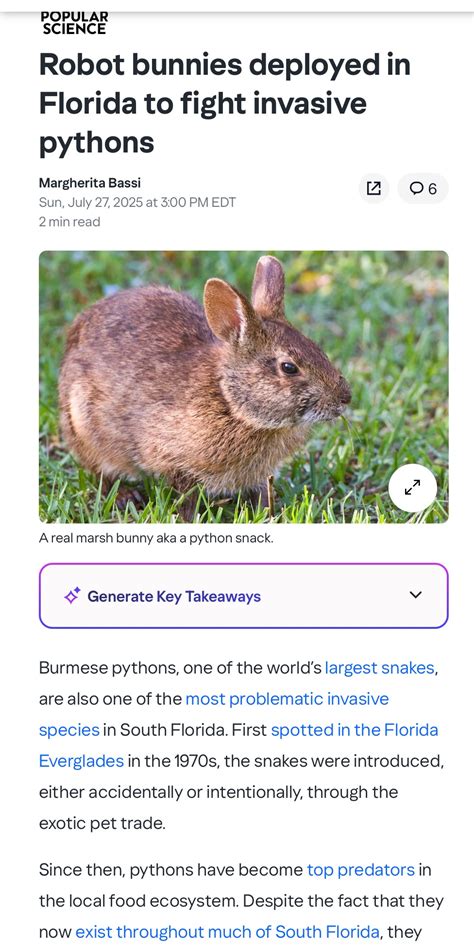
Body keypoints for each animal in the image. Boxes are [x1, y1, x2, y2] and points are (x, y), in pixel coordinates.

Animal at [58, 255, 351, 511]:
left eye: (318, 349)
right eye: (289, 367)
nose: (344, 398)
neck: (230, 401)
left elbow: (262, 493)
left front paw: (268, 514)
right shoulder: (174, 461)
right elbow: (185, 499)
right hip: (85, 424)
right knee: (101, 473)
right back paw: (124, 496)